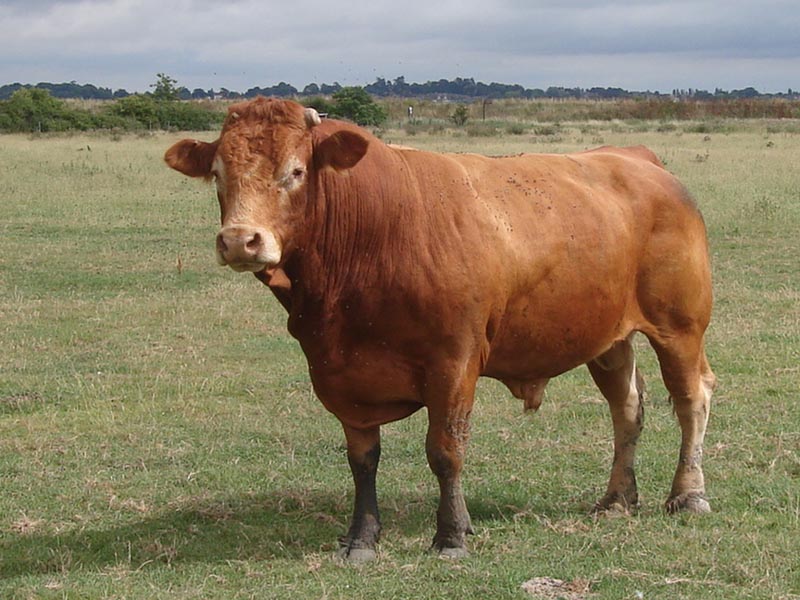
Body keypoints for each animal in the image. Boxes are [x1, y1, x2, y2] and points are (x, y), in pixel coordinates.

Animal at [165, 97, 716, 562]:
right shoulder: (340, 376)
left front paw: (451, 536)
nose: (240, 240)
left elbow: (445, 452)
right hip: (608, 338)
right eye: (217, 173)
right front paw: (362, 538)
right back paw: (618, 498)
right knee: (627, 408)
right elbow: (363, 460)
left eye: (295, 172)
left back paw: (688, 494)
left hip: (680, 326)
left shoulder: (454, 364)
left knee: (692, 398)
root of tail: (635, 158)